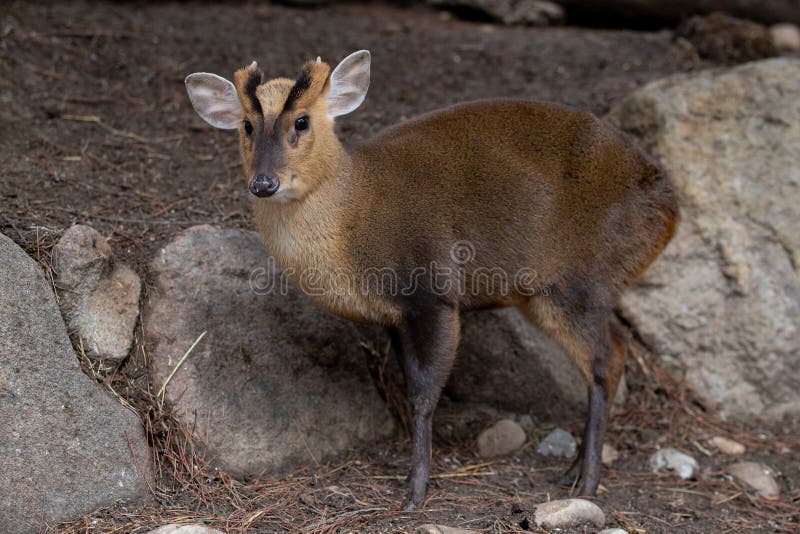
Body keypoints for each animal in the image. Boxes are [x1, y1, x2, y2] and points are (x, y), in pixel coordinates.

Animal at [185, 50, 678, 510]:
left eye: (302, 121)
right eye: (247, 126)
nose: (264, 183)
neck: (352, 220)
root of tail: (669, 207)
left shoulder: (432, 293)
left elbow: (423, 397)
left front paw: (415, 492)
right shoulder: (394, 317)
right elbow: (409, 391)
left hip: (580, 281)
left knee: (607, 358)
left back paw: (588, 481)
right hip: (544, 294)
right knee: (614, 351)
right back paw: (574, 470)